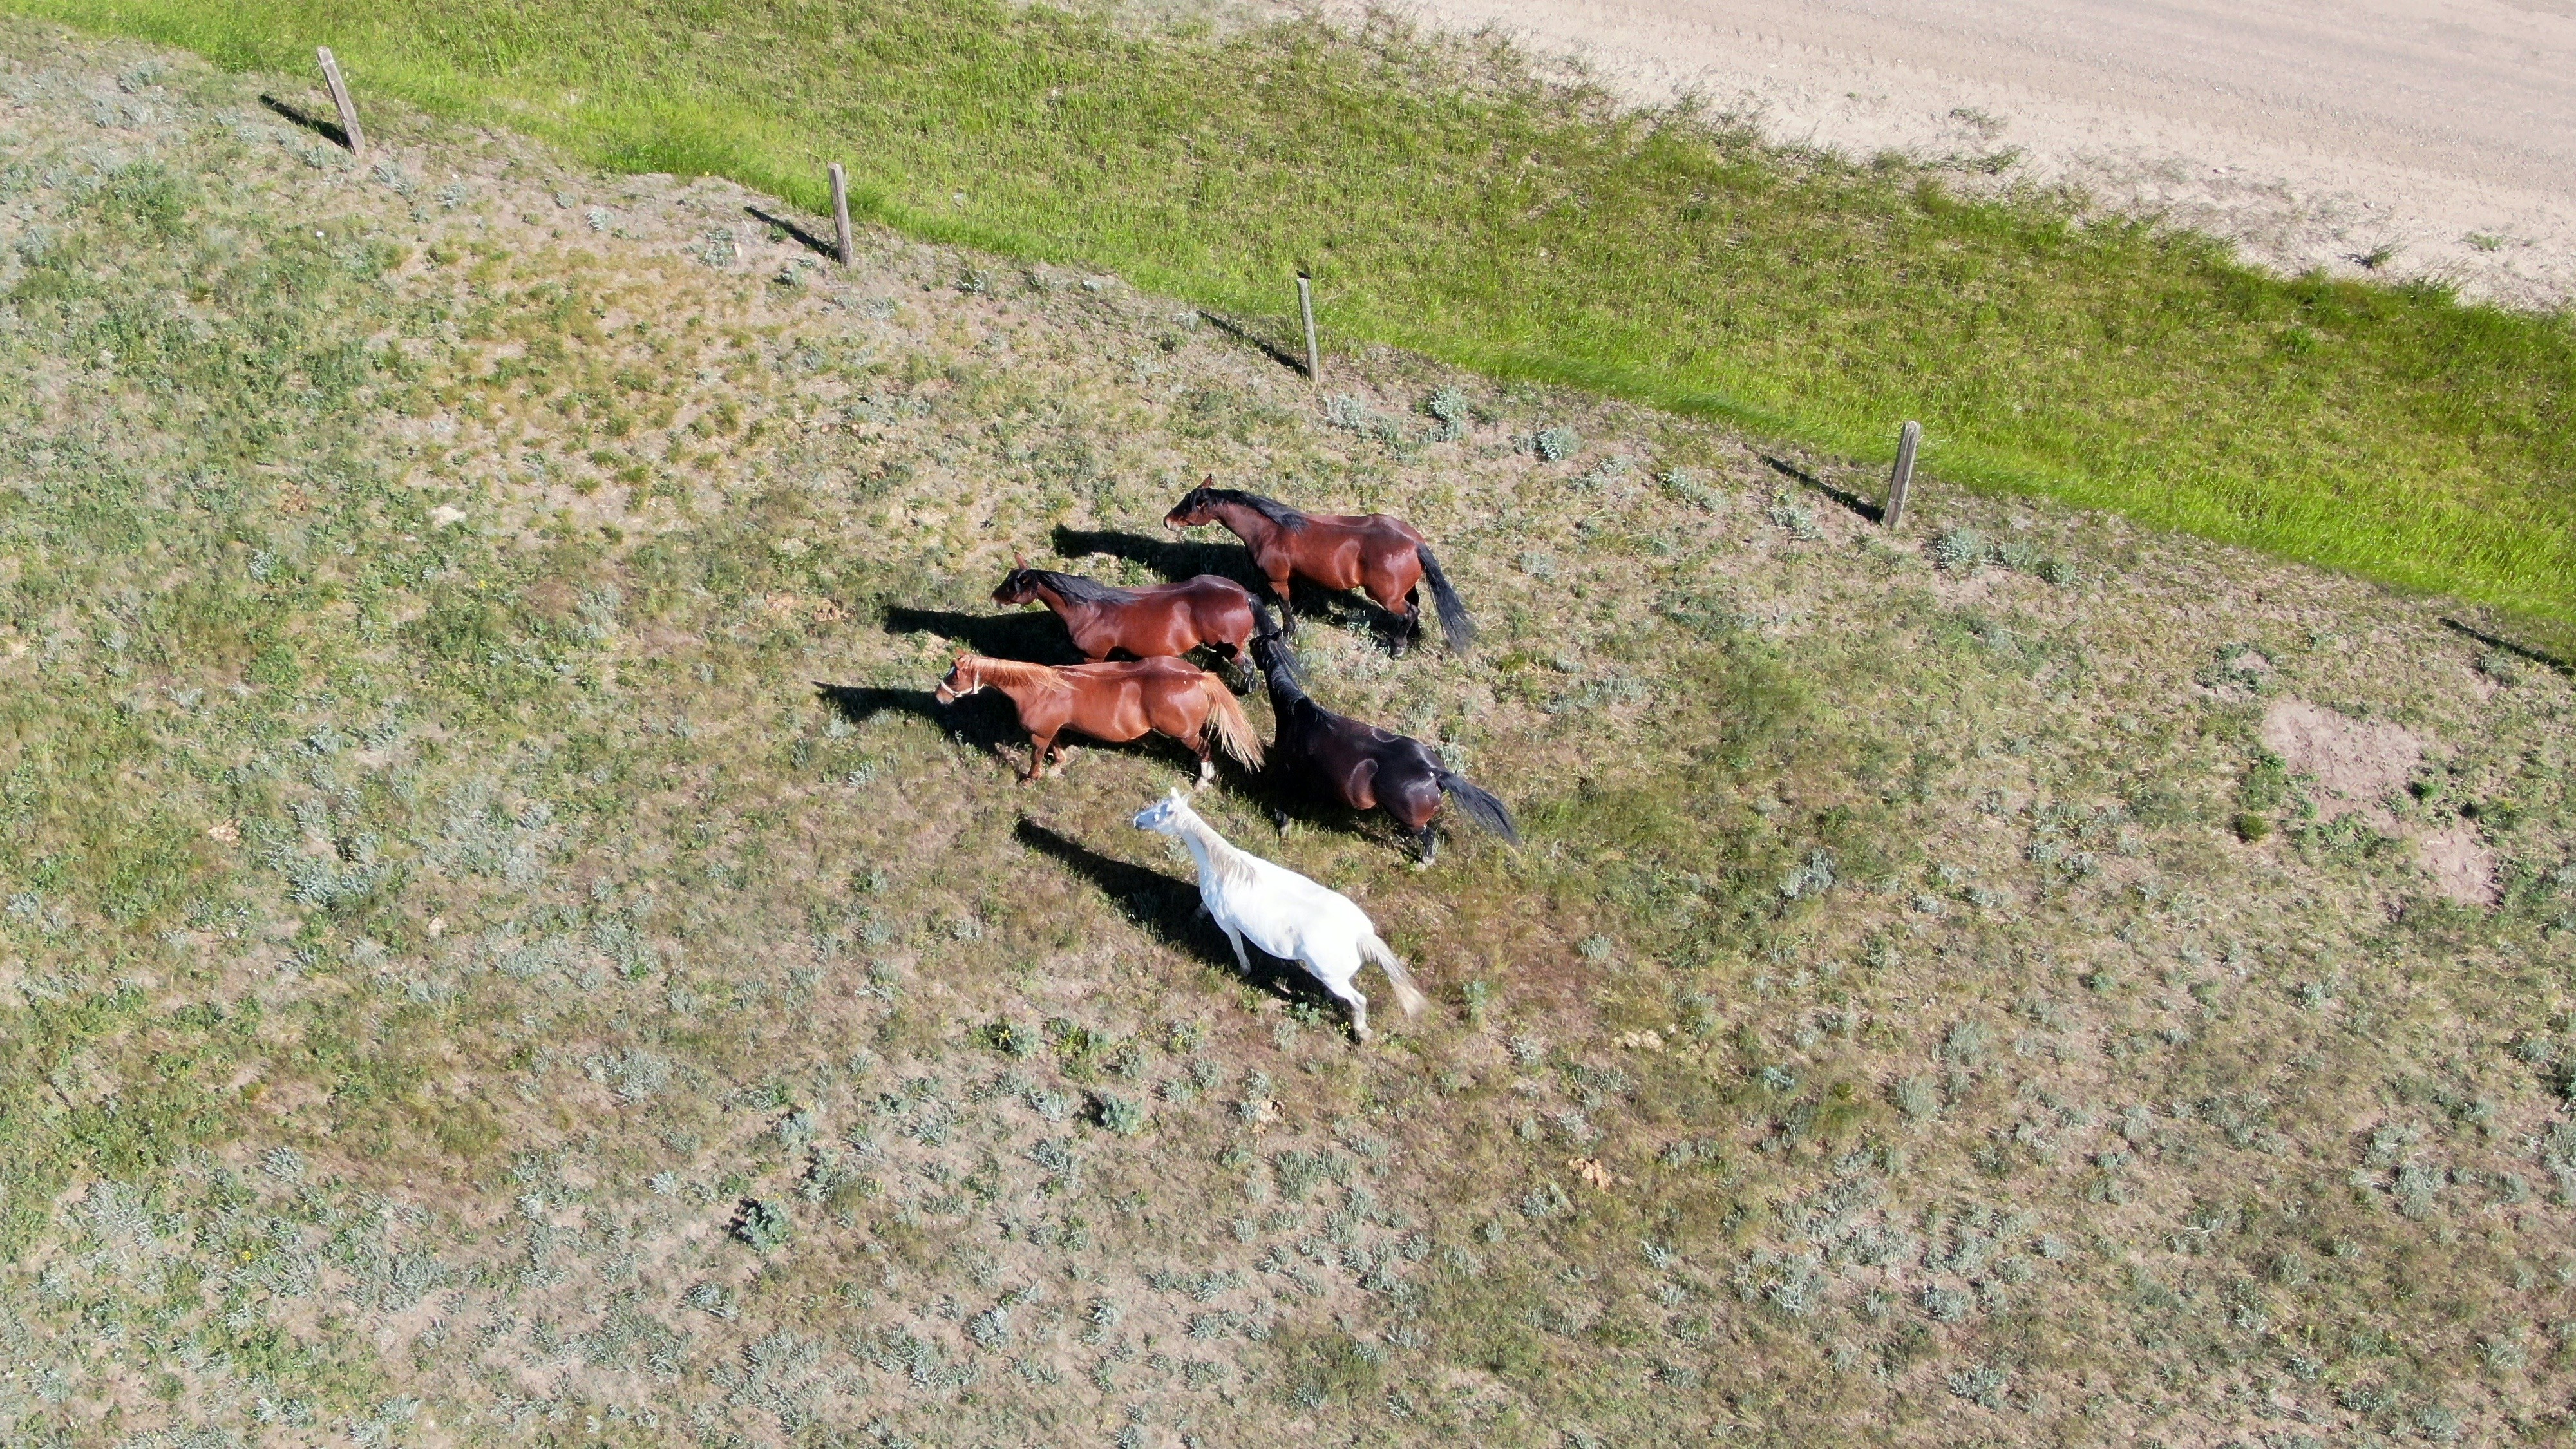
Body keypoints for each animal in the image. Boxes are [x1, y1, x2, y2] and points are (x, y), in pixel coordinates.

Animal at [935, 654, 1262, 785]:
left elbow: (1037, 756)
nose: (939, 697)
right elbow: (1057, 748)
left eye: (955, 674)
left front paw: (1031, 779)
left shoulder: (1039, 734)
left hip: (1184, 733)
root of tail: (1197, 677)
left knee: (1206, 747)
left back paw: (1202, 781)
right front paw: (1058, 768)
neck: (1040, 689)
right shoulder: (1054, 729)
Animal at [992, 559, 1275, 677]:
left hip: (1232, 647)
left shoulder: (1093, 656)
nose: (994, 597)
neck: (1091, 611)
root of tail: (1244, 595)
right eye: (1008, 578)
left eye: (1013, 587)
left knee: (1247, 667)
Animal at [1132, 790, 1425, 1041]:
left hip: (1333, 978)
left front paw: (1244, 969)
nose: (1136, 820)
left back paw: (1362, 1032)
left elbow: (1237, 946)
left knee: (1359, 1001)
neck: (1225, 868)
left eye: (1158, 815)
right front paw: (1195, 916)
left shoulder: (1226, 923)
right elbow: (1203, 908)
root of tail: (1360, 936)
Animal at [1162, 480, 1473, 653]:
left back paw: (1397, 646)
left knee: (1410, 611)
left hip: (1386, 597)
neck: (1272, 529)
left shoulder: (1277, 579)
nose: (1167, 521)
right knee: (1416, 606)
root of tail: (1415, 543)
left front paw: (1287, 632)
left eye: (1190, 506)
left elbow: (1284, 604)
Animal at [1249, 631, 1517, 863]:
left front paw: (1283, 826)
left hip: (1411, 820)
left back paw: (1423, 860)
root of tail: (1436, 773)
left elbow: (1283, 803)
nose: (1248, 646)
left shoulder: (1288, 771)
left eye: (1257, 644)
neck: (1296, 713)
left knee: (1427, 836)